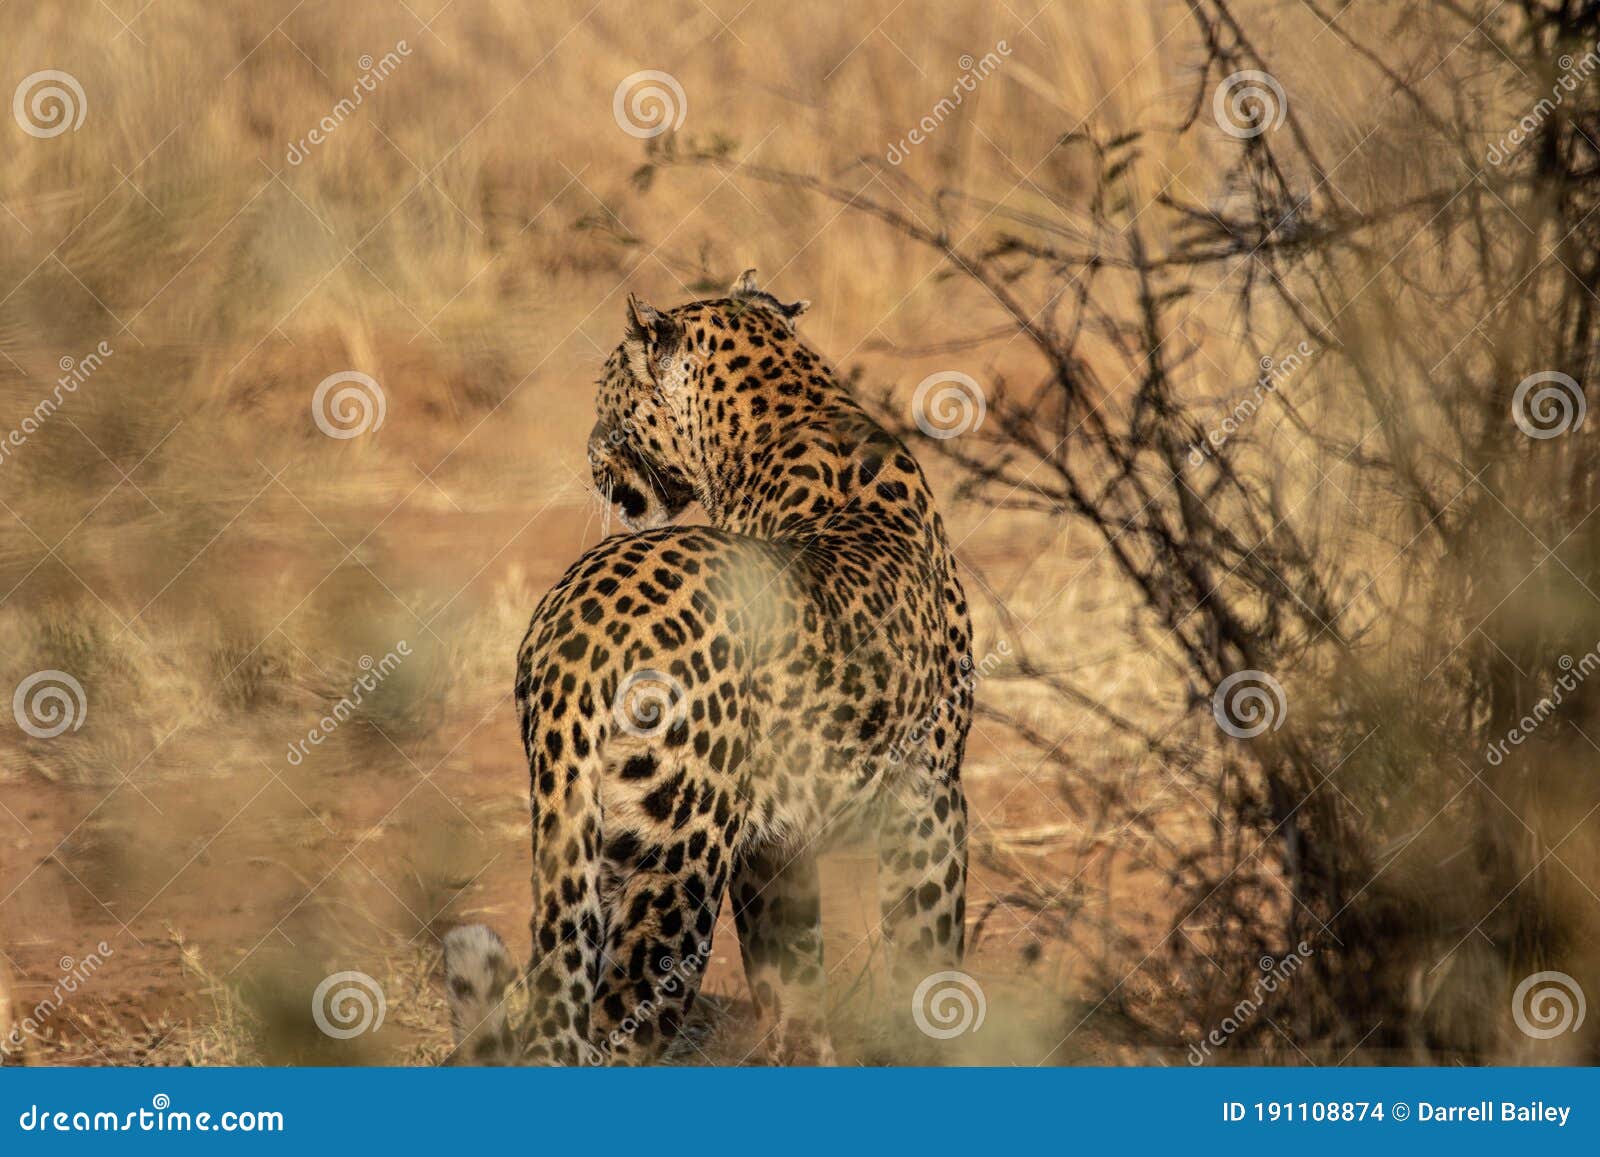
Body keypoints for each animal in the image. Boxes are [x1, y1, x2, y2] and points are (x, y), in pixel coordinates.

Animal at [442, 271, 973, 1065]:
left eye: (608, 391)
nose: (589, 452)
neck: (791, 410)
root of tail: (580, 624)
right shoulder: (913, 800)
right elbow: (898, 963)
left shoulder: (843, 820)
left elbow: (819, 973)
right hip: (680, 864)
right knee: (613, 1028)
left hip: (597, 842)